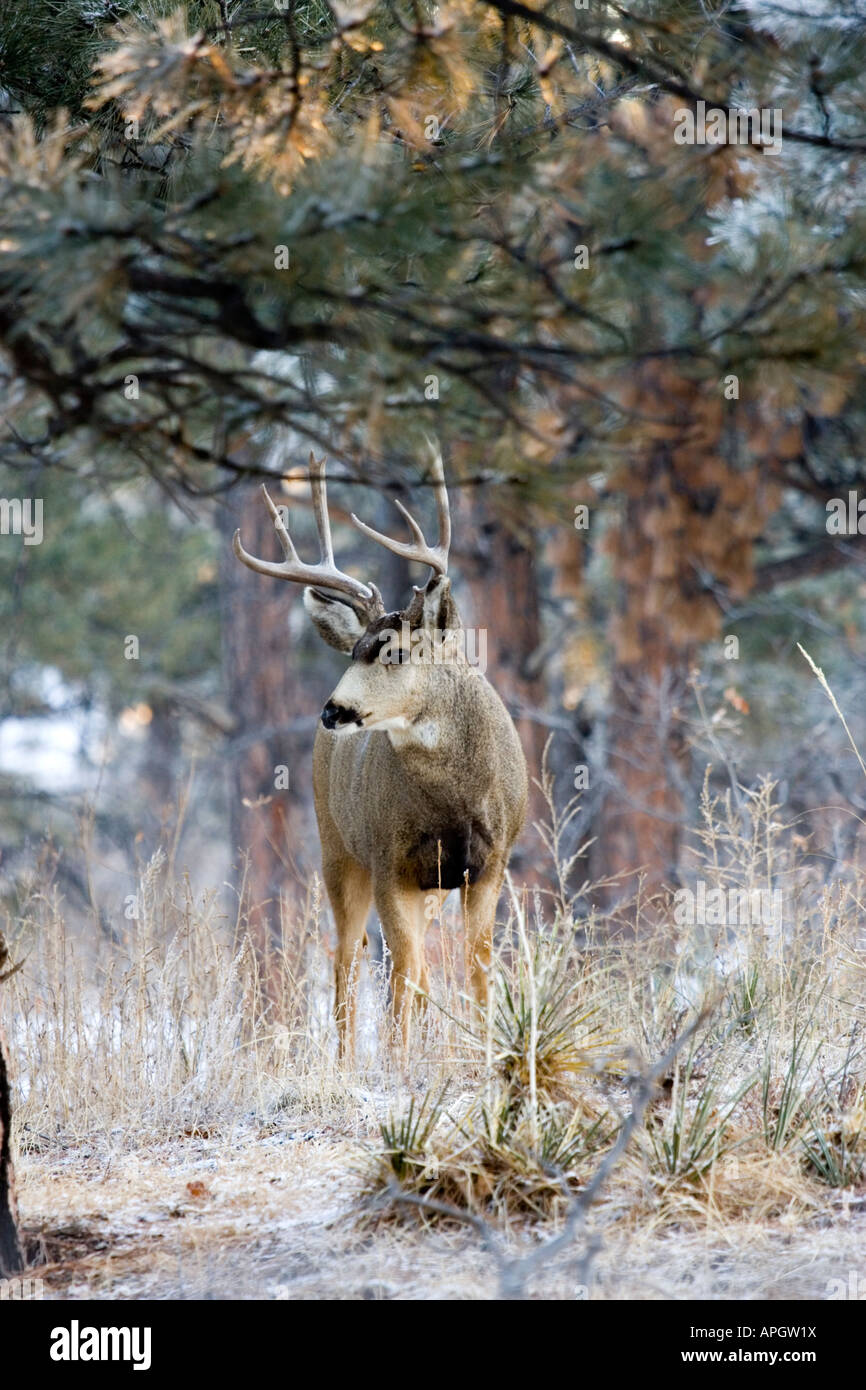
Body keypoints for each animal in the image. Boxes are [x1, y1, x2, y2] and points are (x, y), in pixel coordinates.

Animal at [233, 444, 528, 1056]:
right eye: (355, 652)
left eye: (394, 652)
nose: (332, 711)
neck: (456, 804)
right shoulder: (391, 860)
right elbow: (402, 973)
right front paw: (398, 1062)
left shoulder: (490, 864)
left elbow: (477, 967)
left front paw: (485, 1053)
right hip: (338, 848)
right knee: (348, 961)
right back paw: (347, 1060)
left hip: (429, 885)